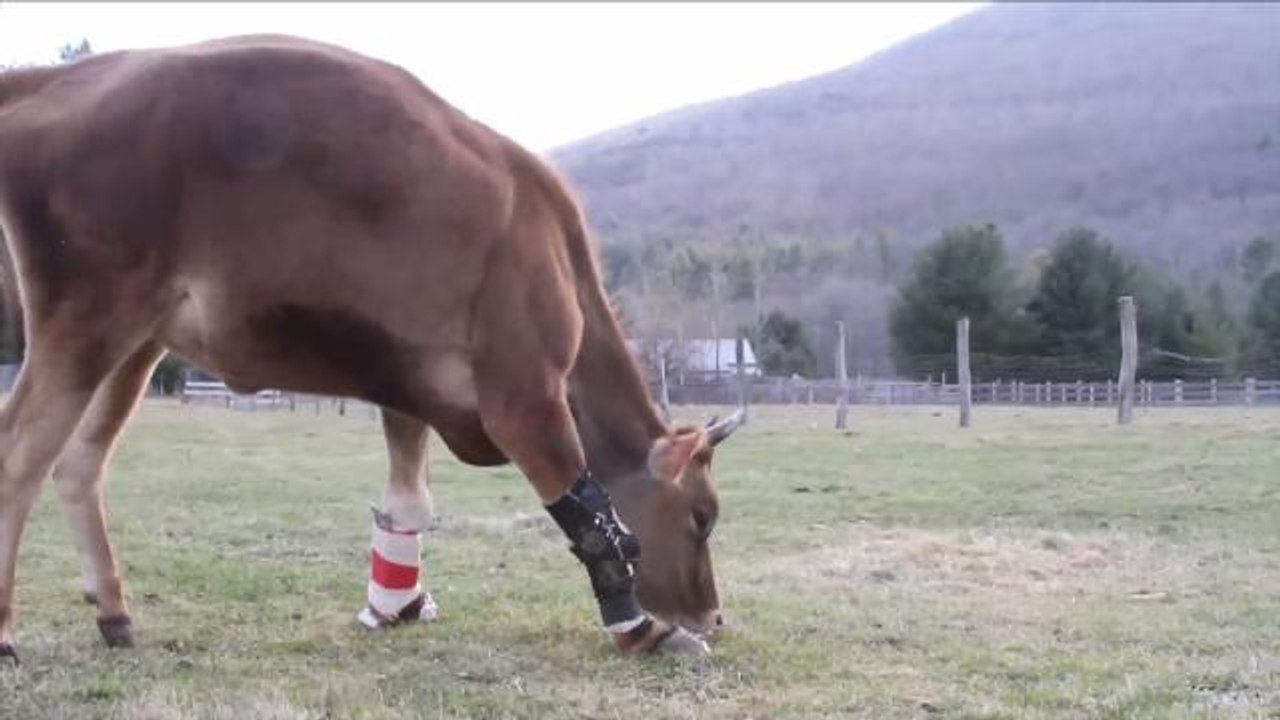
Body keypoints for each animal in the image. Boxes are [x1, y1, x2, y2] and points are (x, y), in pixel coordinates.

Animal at [0, 34, 743, 667]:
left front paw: (396, 602)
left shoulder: (409, 386)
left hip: (136, 341)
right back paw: (7, 634)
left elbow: (407, 502)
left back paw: (115, 613)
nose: (713, 615)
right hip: (85, 320)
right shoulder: (524, 396)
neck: (553, 249)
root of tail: (53, 82)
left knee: (78, 465)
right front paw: (639, 627)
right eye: (702, 517)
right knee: (19, 458)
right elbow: (589, 514)